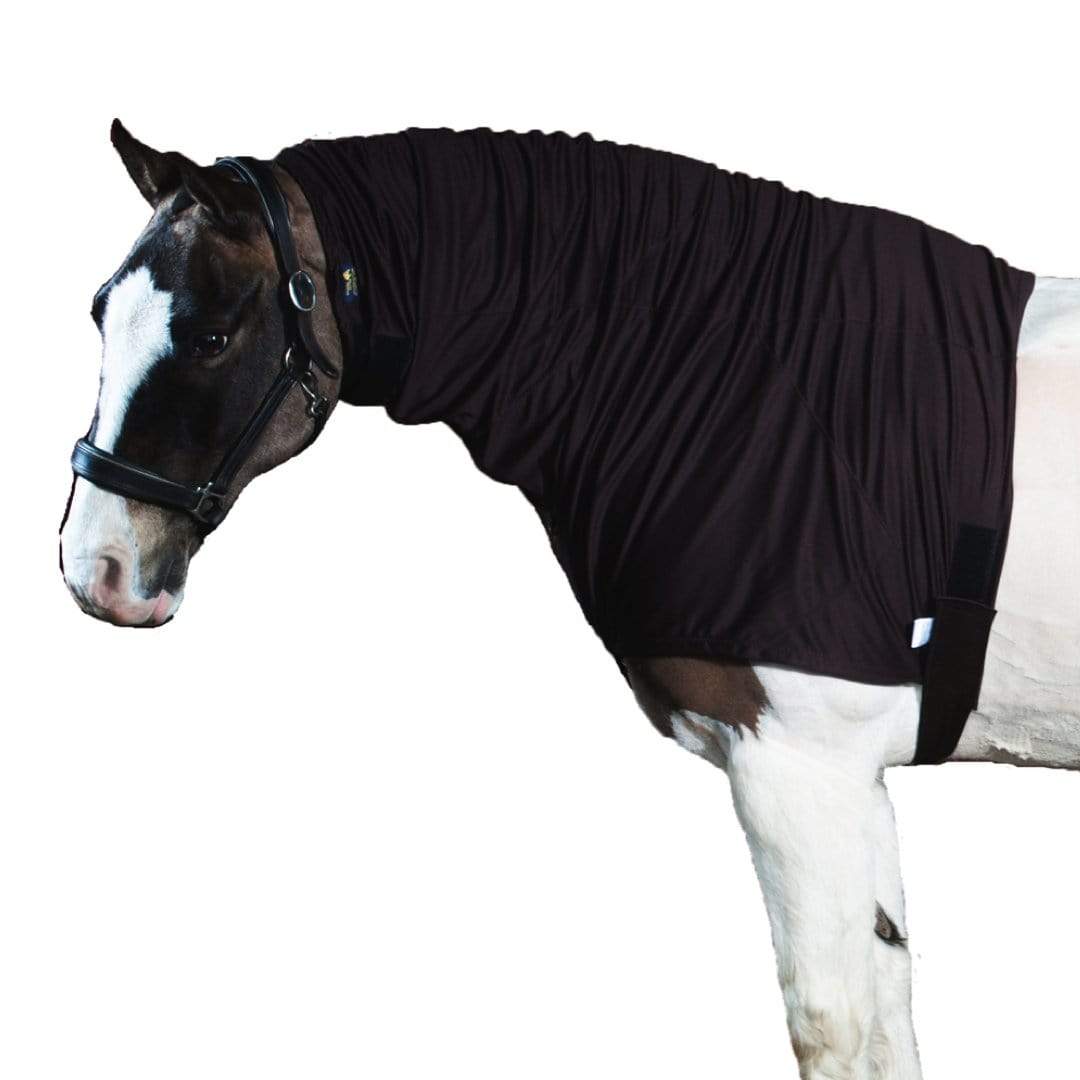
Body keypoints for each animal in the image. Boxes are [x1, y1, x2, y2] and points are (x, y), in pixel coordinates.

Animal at [60, 121, 1080, 1080]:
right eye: (103, 311)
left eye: (209, 337)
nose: (98, 568)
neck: (748, 383)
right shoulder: (851, 783)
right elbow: (887, 1018)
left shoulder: (801, 767)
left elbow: (831, 1027)